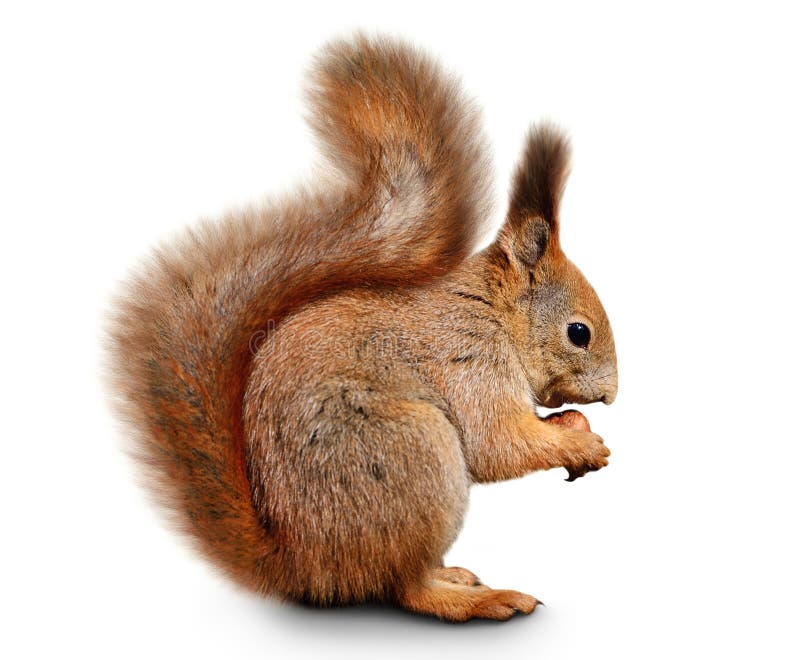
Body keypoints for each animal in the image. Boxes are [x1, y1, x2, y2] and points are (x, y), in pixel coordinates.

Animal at [108, 34, 617, 622]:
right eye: (578, 332)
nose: (612, 395)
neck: (491, 312)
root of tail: (303, 567)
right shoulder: (470, 359)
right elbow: (498, 443)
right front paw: (581, 445)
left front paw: (573, 424)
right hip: (412, 451)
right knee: (405, 586)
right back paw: (481, 599)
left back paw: (456, 574)